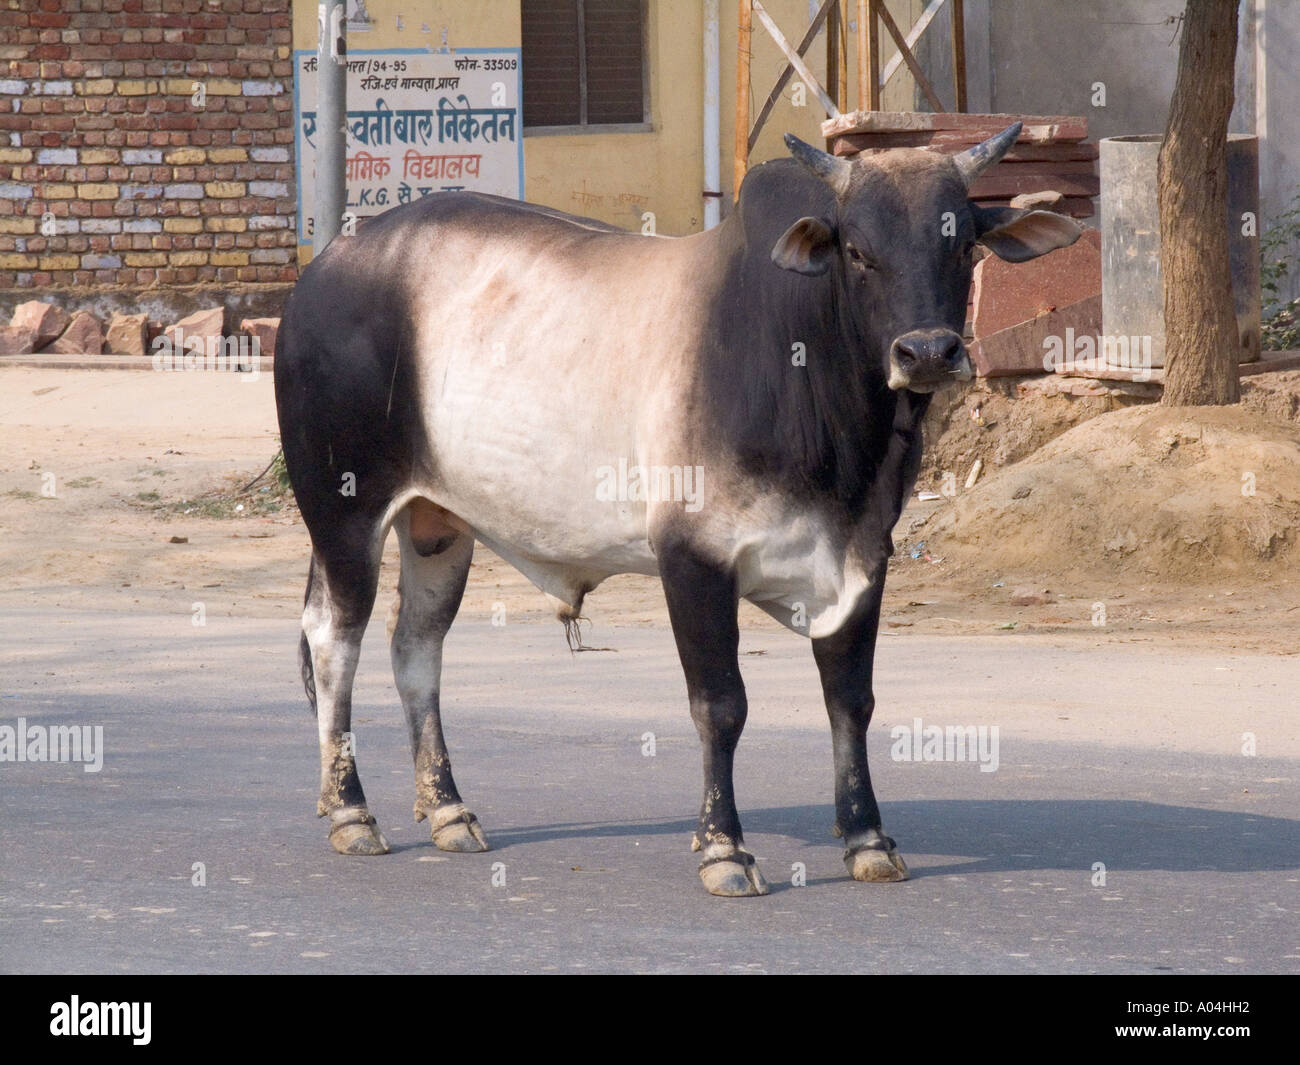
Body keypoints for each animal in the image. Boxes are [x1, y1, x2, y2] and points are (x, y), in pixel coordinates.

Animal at [274, 122, 1080, 897]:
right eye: (857, 251)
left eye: (963, 243)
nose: (928, 352)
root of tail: (328, 262)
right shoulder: (693, 556)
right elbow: (720, 704)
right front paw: (724, 849)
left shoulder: (862, 557)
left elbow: (851, 699)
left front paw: (868, 840)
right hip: (344, 512)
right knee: (334, 641)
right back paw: (351, 811)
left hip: (438, 526)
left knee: (416, 647)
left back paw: (446, 809)